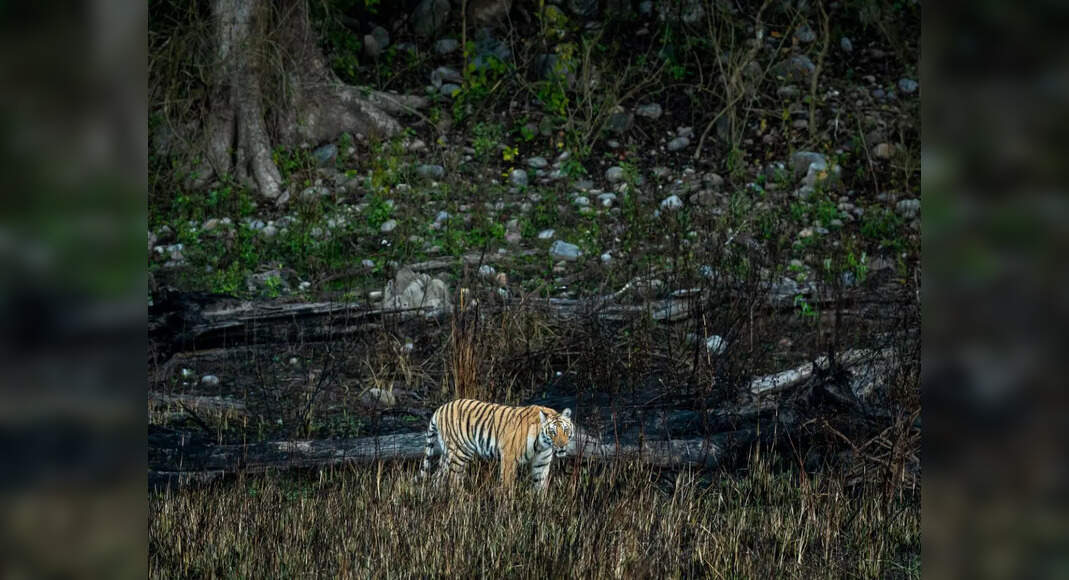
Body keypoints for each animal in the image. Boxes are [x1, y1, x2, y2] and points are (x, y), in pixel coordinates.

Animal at [418, 398, 574, 491]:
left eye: (565, 430)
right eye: (553, 432)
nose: (562, 446)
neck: (543, 444)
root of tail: (441, 408)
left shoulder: (541, 463)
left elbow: (540, 487)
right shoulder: (509, 458)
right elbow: (507, 485)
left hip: (448, 454)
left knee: (437, 477)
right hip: (459, 452)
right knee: (453, 479)